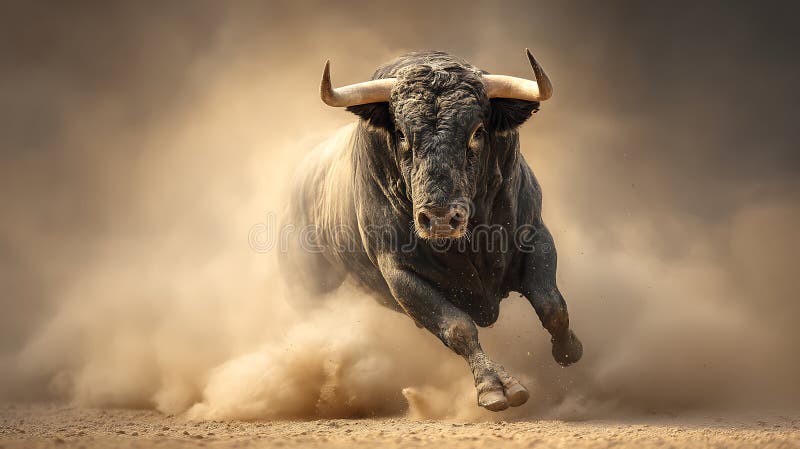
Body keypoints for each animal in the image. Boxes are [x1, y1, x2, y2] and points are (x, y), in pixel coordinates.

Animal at [281, 49, 582, 411]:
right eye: (400, 134)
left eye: (477, 131)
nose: (439, 218)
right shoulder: (400, 274)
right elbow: (457, 326)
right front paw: (495, 386)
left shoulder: (536, 236)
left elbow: (552, 305)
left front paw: (569, 349)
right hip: (311, 290)